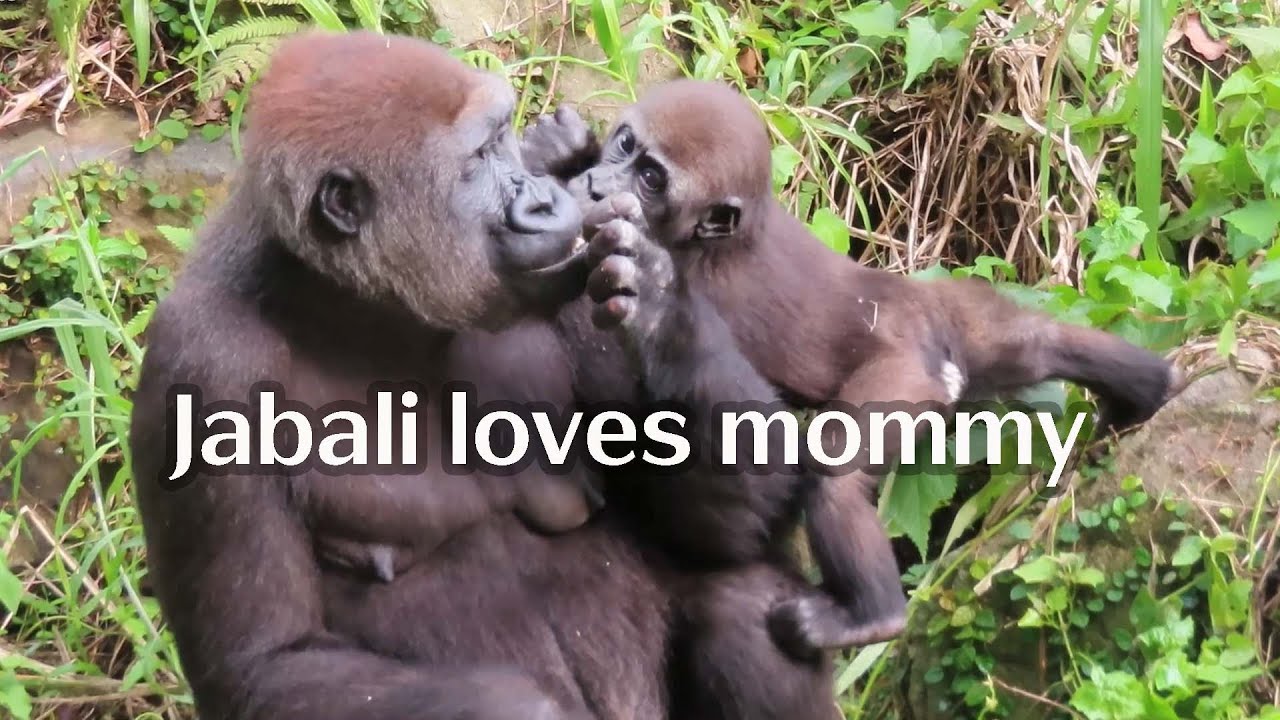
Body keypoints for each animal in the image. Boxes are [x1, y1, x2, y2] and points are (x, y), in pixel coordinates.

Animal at [129, 32, 843, 720]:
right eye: (475, 162)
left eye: (503, 141)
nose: (547, 197)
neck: (368, 310)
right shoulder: (202, 364)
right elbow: (263, 661)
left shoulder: (578, 272)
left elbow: (727, 531)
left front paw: (665, 310)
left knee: (747, 598)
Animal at [520, 80, 1183, 659]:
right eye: (625, 144)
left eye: (652, 179)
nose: (599, 182)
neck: (716, 237)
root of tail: (925, 329)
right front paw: (553, 150)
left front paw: (652, 301)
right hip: (959, 319)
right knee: (1036, 341)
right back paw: (1149, 387)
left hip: (906, 377)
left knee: (834, 474)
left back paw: (872, 619)